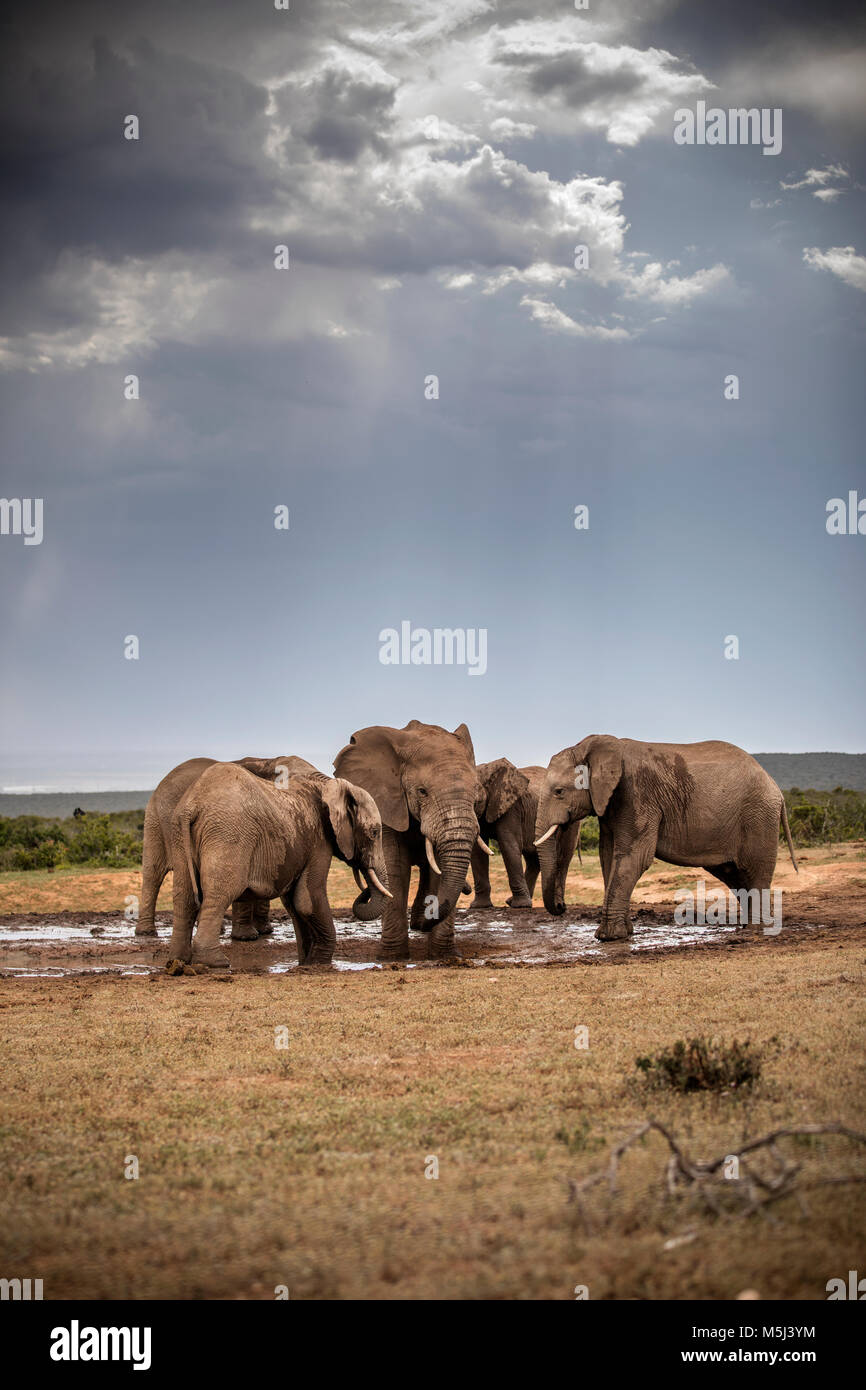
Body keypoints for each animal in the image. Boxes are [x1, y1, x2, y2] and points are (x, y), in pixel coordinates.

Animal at [137, 754, 315, 938]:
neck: (267, 761)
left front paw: (264, 932)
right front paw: (246, 937)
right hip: (157, 820)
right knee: (153, 873)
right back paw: (147, 933)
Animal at [168, 763, 389, 968]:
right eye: (375, 833)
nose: (364, 887)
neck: (329, 785)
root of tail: (192, 805)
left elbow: (293, 904)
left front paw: (305, 963)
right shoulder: (319, 841)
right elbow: (308, 899)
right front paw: (319, 964)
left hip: (179, 837)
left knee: (184, 897)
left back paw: (177, 962)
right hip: (227, 833)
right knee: (220, 894)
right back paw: (215, 963)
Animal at [333, 721, 484, 960]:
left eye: (477, 795)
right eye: (422, 791)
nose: (467, 889)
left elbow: (438, 870)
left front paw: (445, 956)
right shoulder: (386, 804)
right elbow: (395, 867)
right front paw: (392, 957)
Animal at [469, 760, 580, 910]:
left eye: (476, 800)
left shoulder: (512, 807)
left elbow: (508, 844)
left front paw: (521, 905)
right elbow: (477, 852)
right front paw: (479, 906)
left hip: (571, 817)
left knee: (563, 857)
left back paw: (556, 905)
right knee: (533, 859)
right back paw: (512, 901)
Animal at [534, 735, 798, 940]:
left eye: (559, 792)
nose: (562, 907)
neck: (592, 746)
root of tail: (775, 787)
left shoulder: (637, 795)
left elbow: (633, 857)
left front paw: (608, 937)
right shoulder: (610, 805)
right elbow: (608, 857)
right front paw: (625, 933)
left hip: (758, 817)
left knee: (754, 870)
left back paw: (754, 930)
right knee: (735, 874)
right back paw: (745, 927)